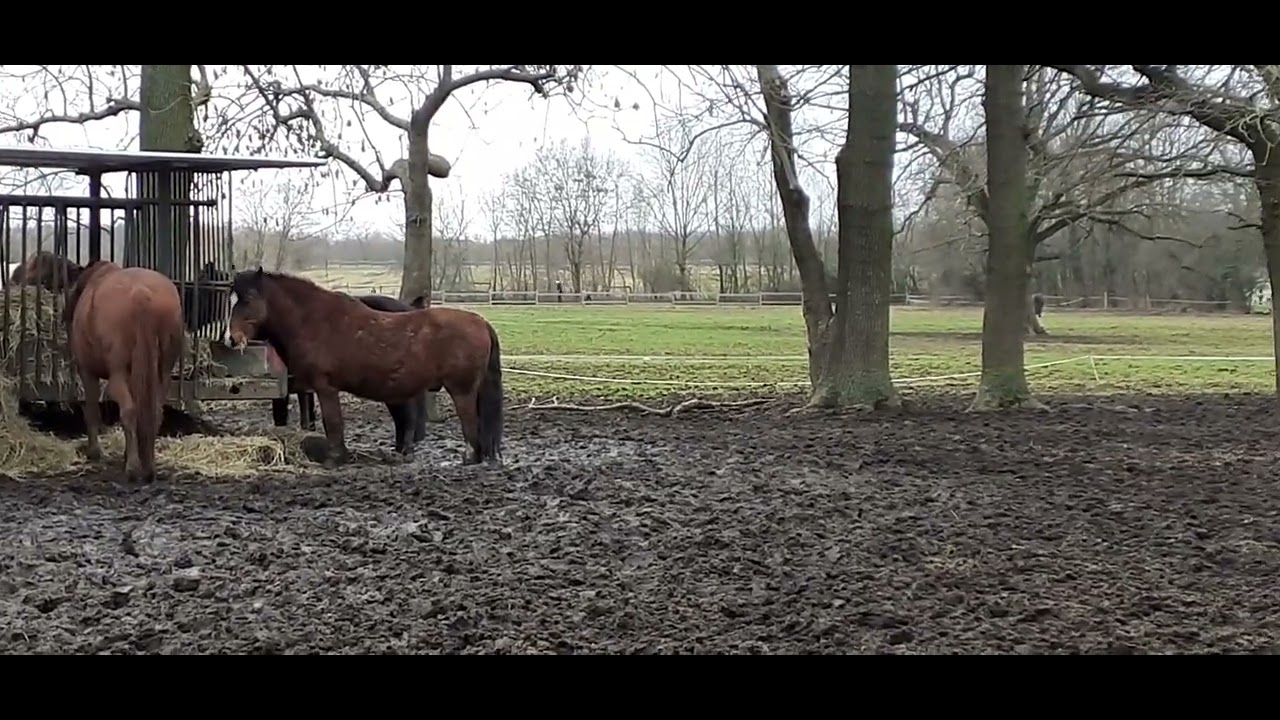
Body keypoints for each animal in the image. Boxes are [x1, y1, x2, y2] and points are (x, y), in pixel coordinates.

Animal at [63, 260, 185, 483]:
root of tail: (141, 294)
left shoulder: (87, 372)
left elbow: (91, 411)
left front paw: (94, 452)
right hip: (161, 374)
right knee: (155, 412)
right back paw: (147, 467)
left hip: (118, 375)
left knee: (129, 410)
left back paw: (133, 468)